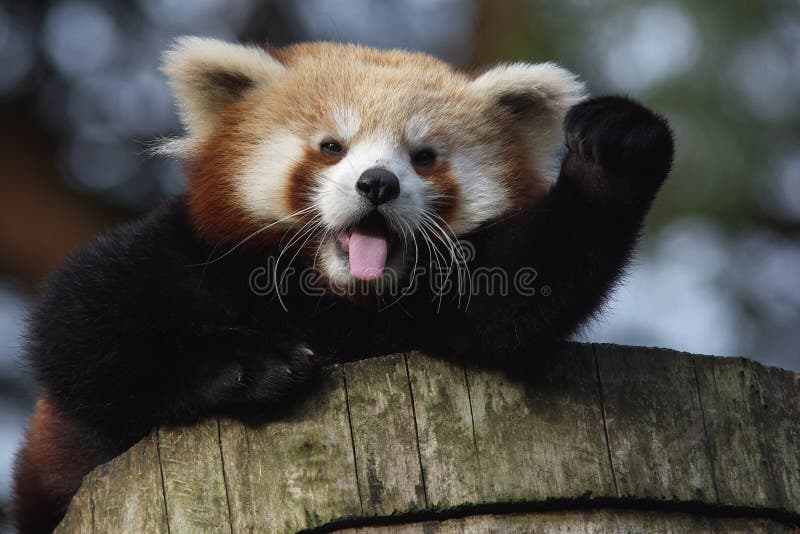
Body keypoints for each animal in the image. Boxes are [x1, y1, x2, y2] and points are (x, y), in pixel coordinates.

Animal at [11, 37, 673, 533]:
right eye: (332, 146)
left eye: (423, 156)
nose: (378, 183)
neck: (336, 302)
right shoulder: (187, 252)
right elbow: (78, 334)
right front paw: (250, 364)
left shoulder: (450, 295)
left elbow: (515, 300)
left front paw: (612, 155)